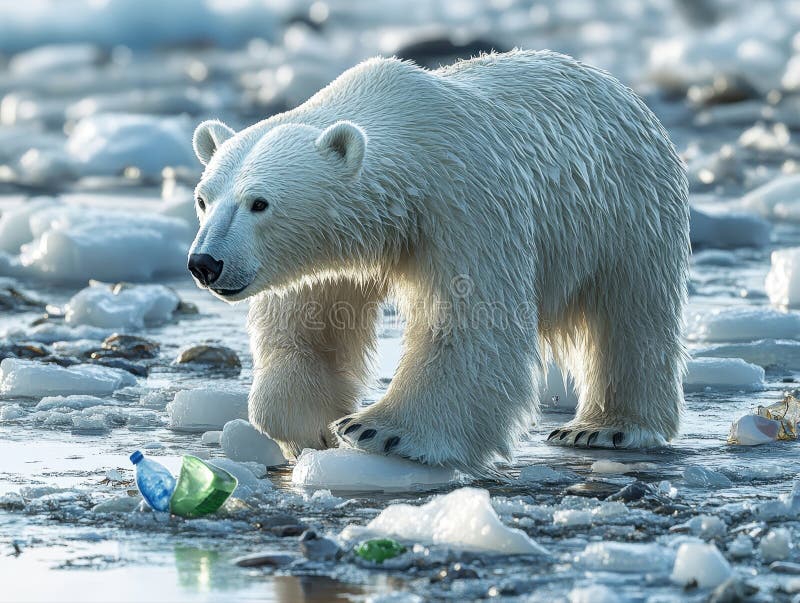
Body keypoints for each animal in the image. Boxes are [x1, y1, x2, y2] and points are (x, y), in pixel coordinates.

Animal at [187, 50, 690, 471]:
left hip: (625, 209)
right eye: (203, 199)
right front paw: (309, 425)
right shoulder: (334, 251)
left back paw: (603, 429)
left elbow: (470, 320)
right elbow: (308, 323)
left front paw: (378, 430)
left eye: (259, 203)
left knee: (630, 314)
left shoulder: (467, 204)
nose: (205, 263)